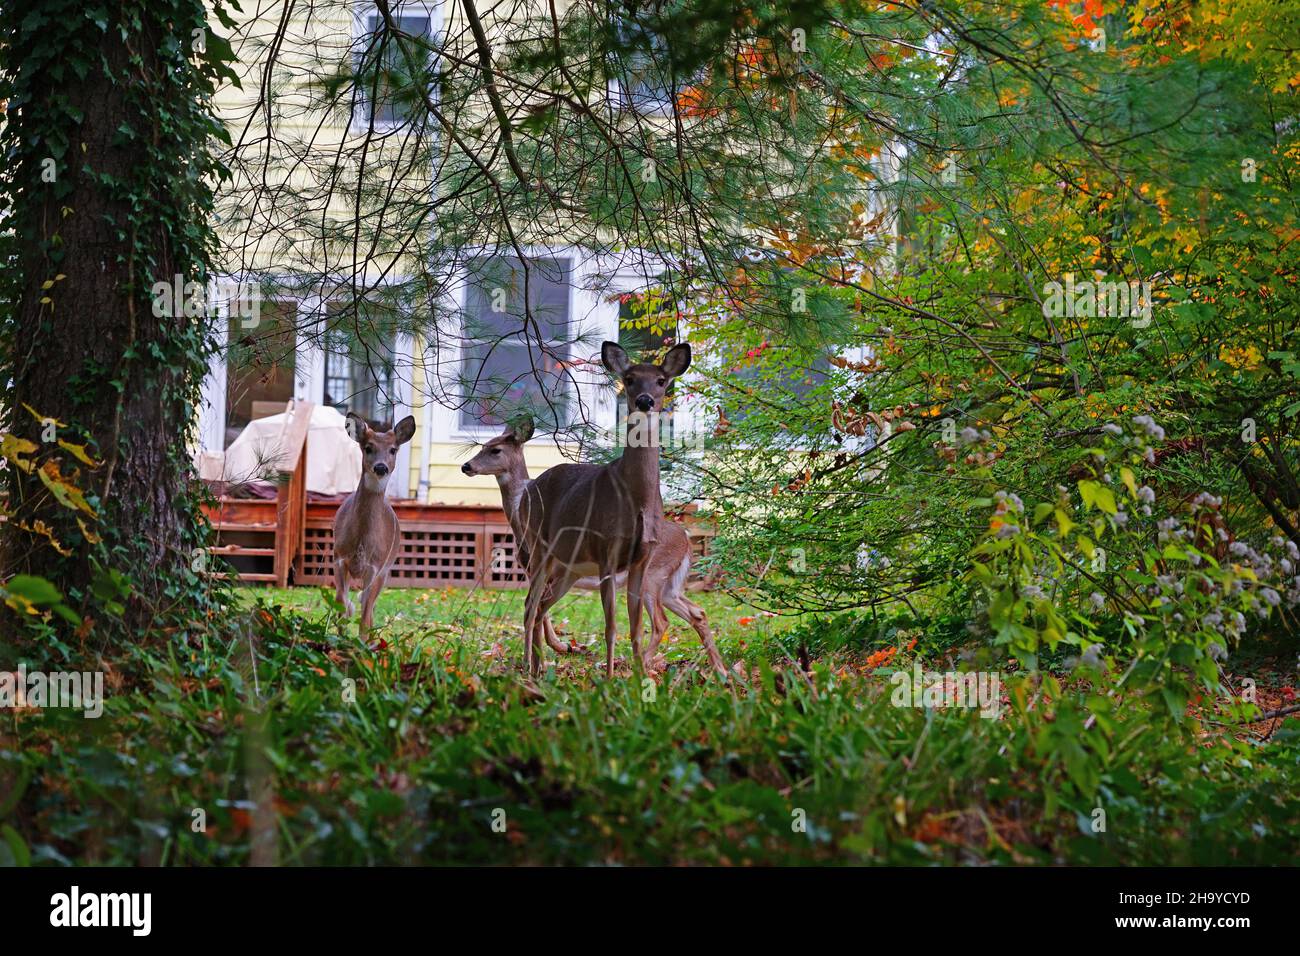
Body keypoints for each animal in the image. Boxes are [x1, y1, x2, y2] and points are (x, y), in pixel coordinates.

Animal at [332, 412, 416, 638]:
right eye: (368, 447)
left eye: (393, 449)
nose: (380, 467)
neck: (362, 541)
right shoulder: (340, 558)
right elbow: (341, 604)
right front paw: (338, 637)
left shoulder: (375, 567)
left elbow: (364, 617)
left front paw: (359, 644)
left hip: (386, 570)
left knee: (370, 610)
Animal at [460, 417, 725, 675]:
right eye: (481, 446)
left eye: (495, 449)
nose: (466, 466)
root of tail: (687, 538)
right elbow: (541, 610)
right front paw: (557, 651)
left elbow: (536, 610)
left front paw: (552, 652)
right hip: (670, 585)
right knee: (697, 613)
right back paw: (720, 671)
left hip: (652, 574)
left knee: (661, 622)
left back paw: (638, 666)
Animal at [516, 341, 729, 679]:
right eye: (629, 379)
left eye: (661, 381)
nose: (645, 400)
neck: (636, 499)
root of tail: (526, 490)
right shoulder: (607, 551)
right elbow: (611, 626)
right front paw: (611, 678)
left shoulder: (642, 558)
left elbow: (637, 627)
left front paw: (639, 677)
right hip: (539, 547)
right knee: (529, 604)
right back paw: (527, 668)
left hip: (570, 567)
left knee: (541, 606)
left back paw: (538, 669)